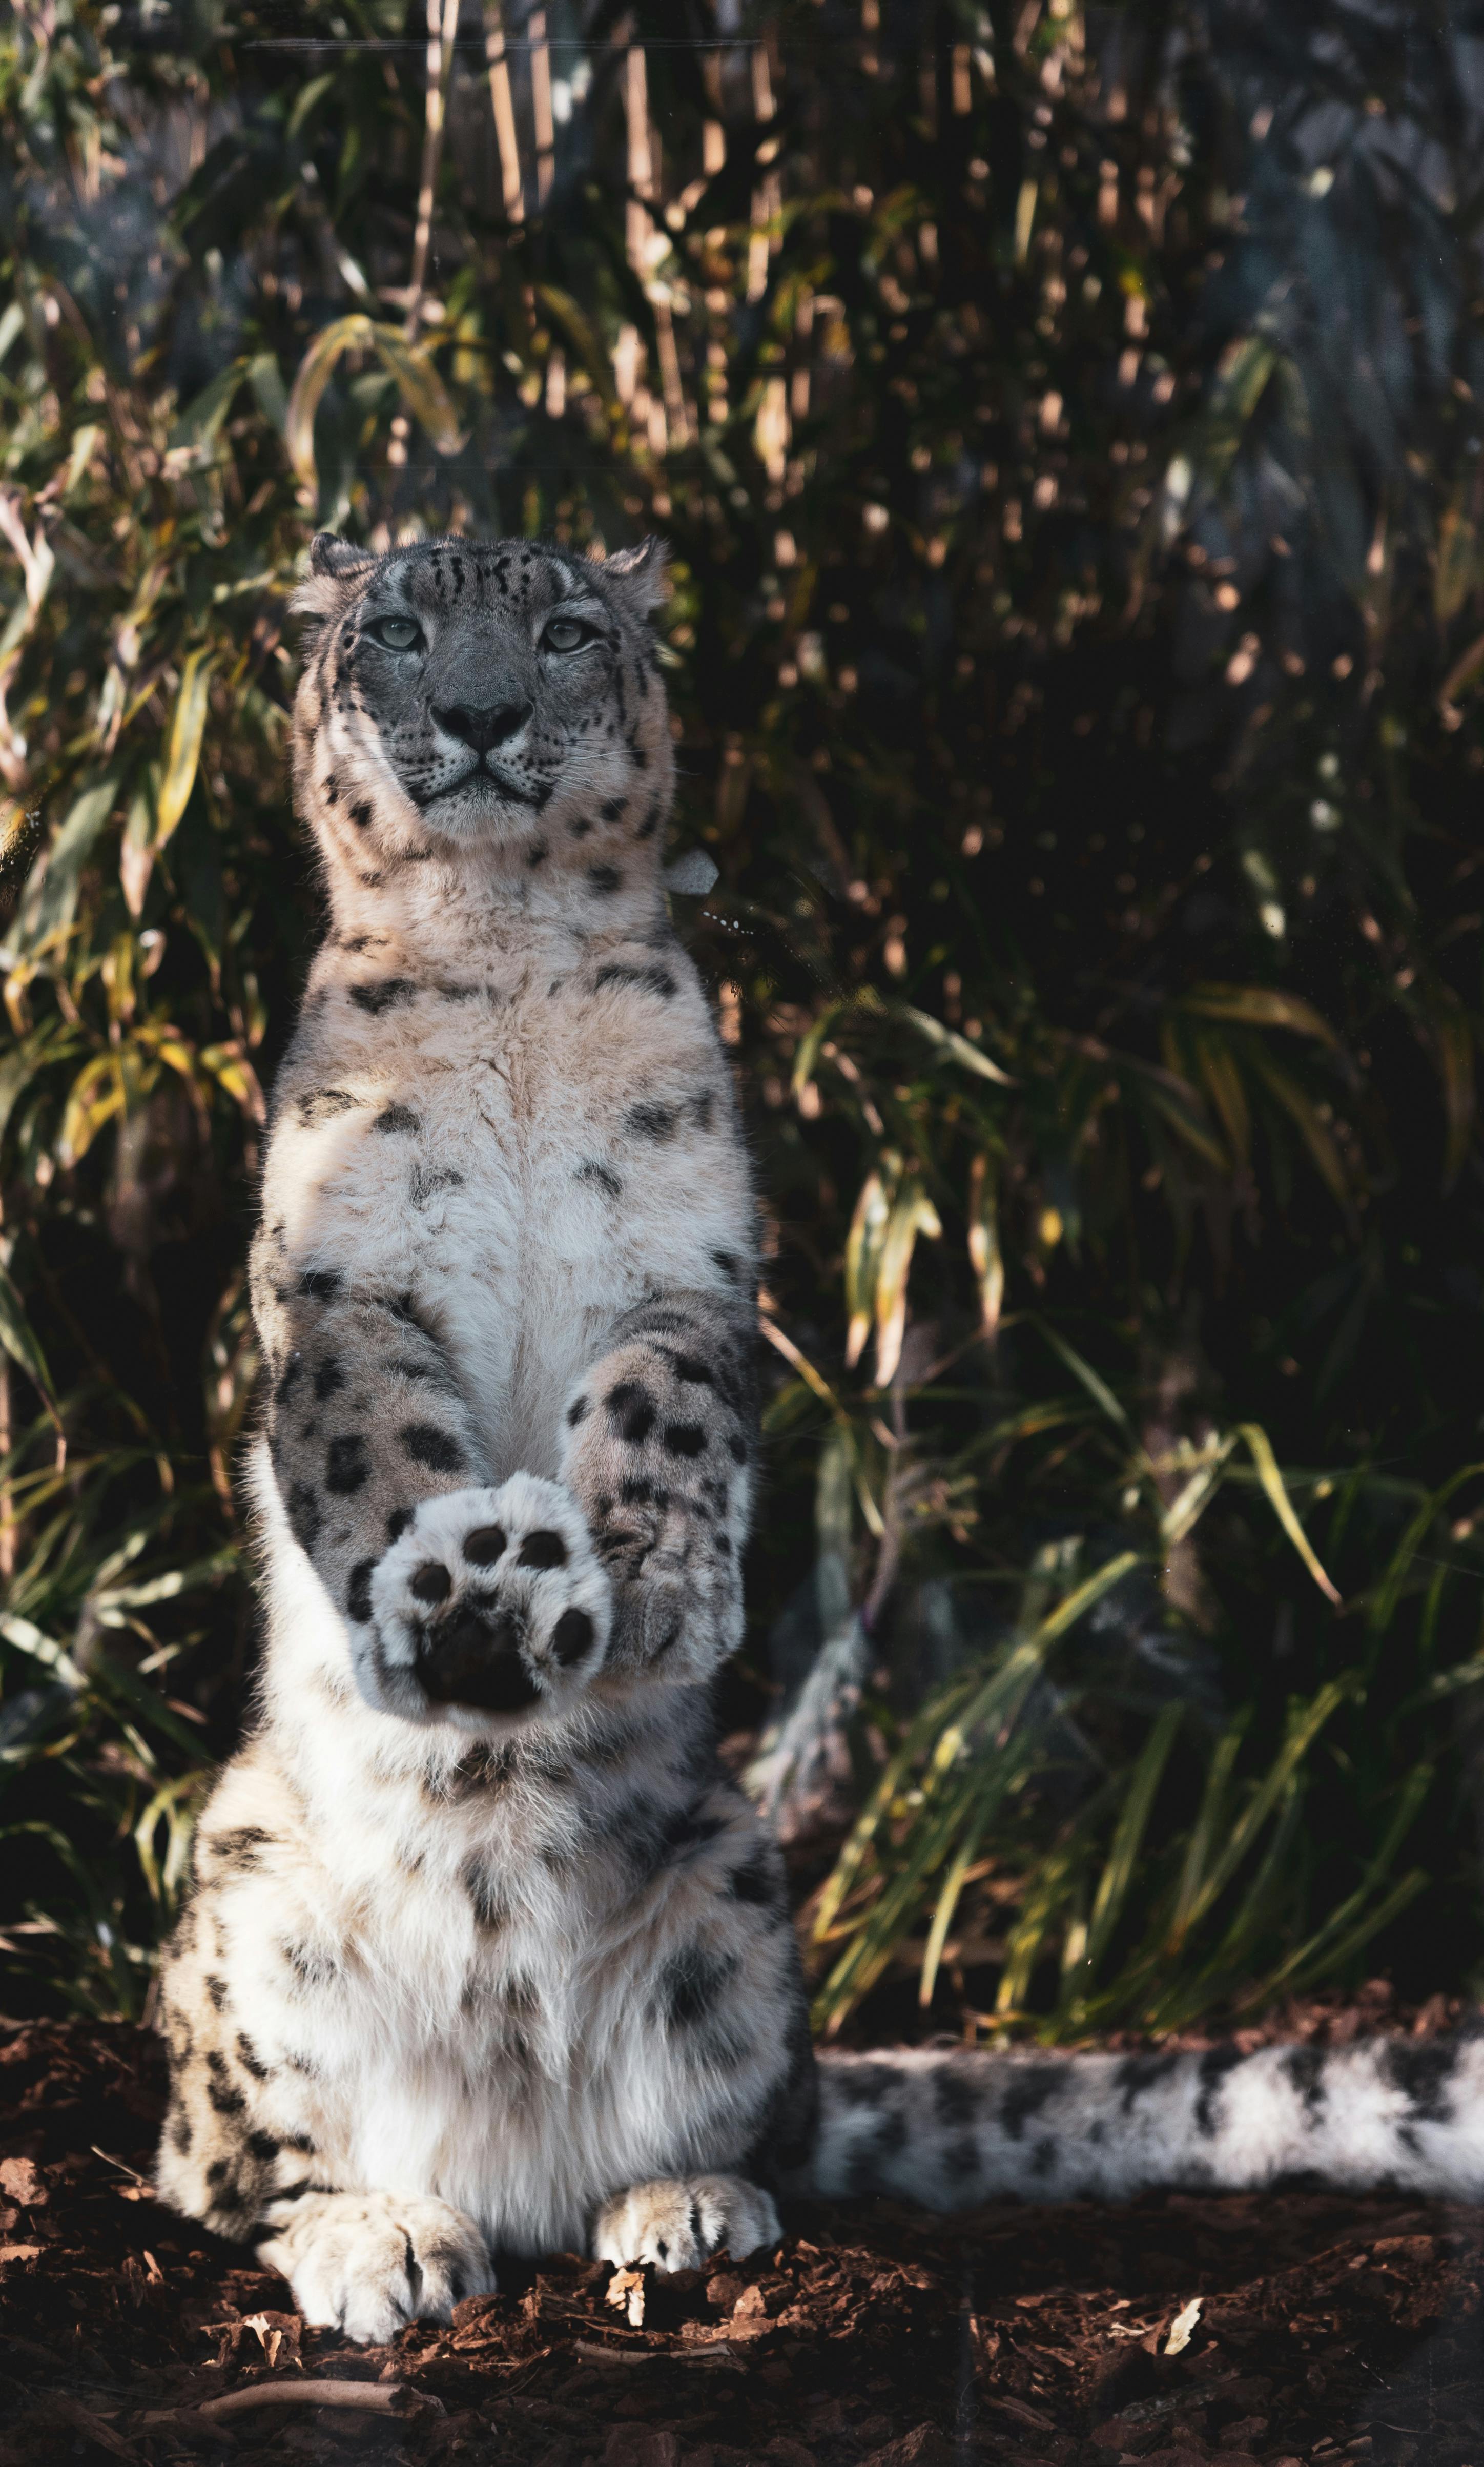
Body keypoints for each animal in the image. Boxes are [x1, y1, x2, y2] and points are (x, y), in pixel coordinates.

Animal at [153, 529, 1484, 2348]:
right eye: (402, 632)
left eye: (565, 630)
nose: (482, 712)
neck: (503, 963)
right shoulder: (341, 1277)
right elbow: (376, 1437)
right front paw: (466, 1581)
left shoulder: (688, 1263)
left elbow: (657, 1410)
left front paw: (642, 1588)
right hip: (243, 1890)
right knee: (221, 2175)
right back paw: (386, 2237)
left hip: (736, 1883)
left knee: (721, 2123)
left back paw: (679, 2202)